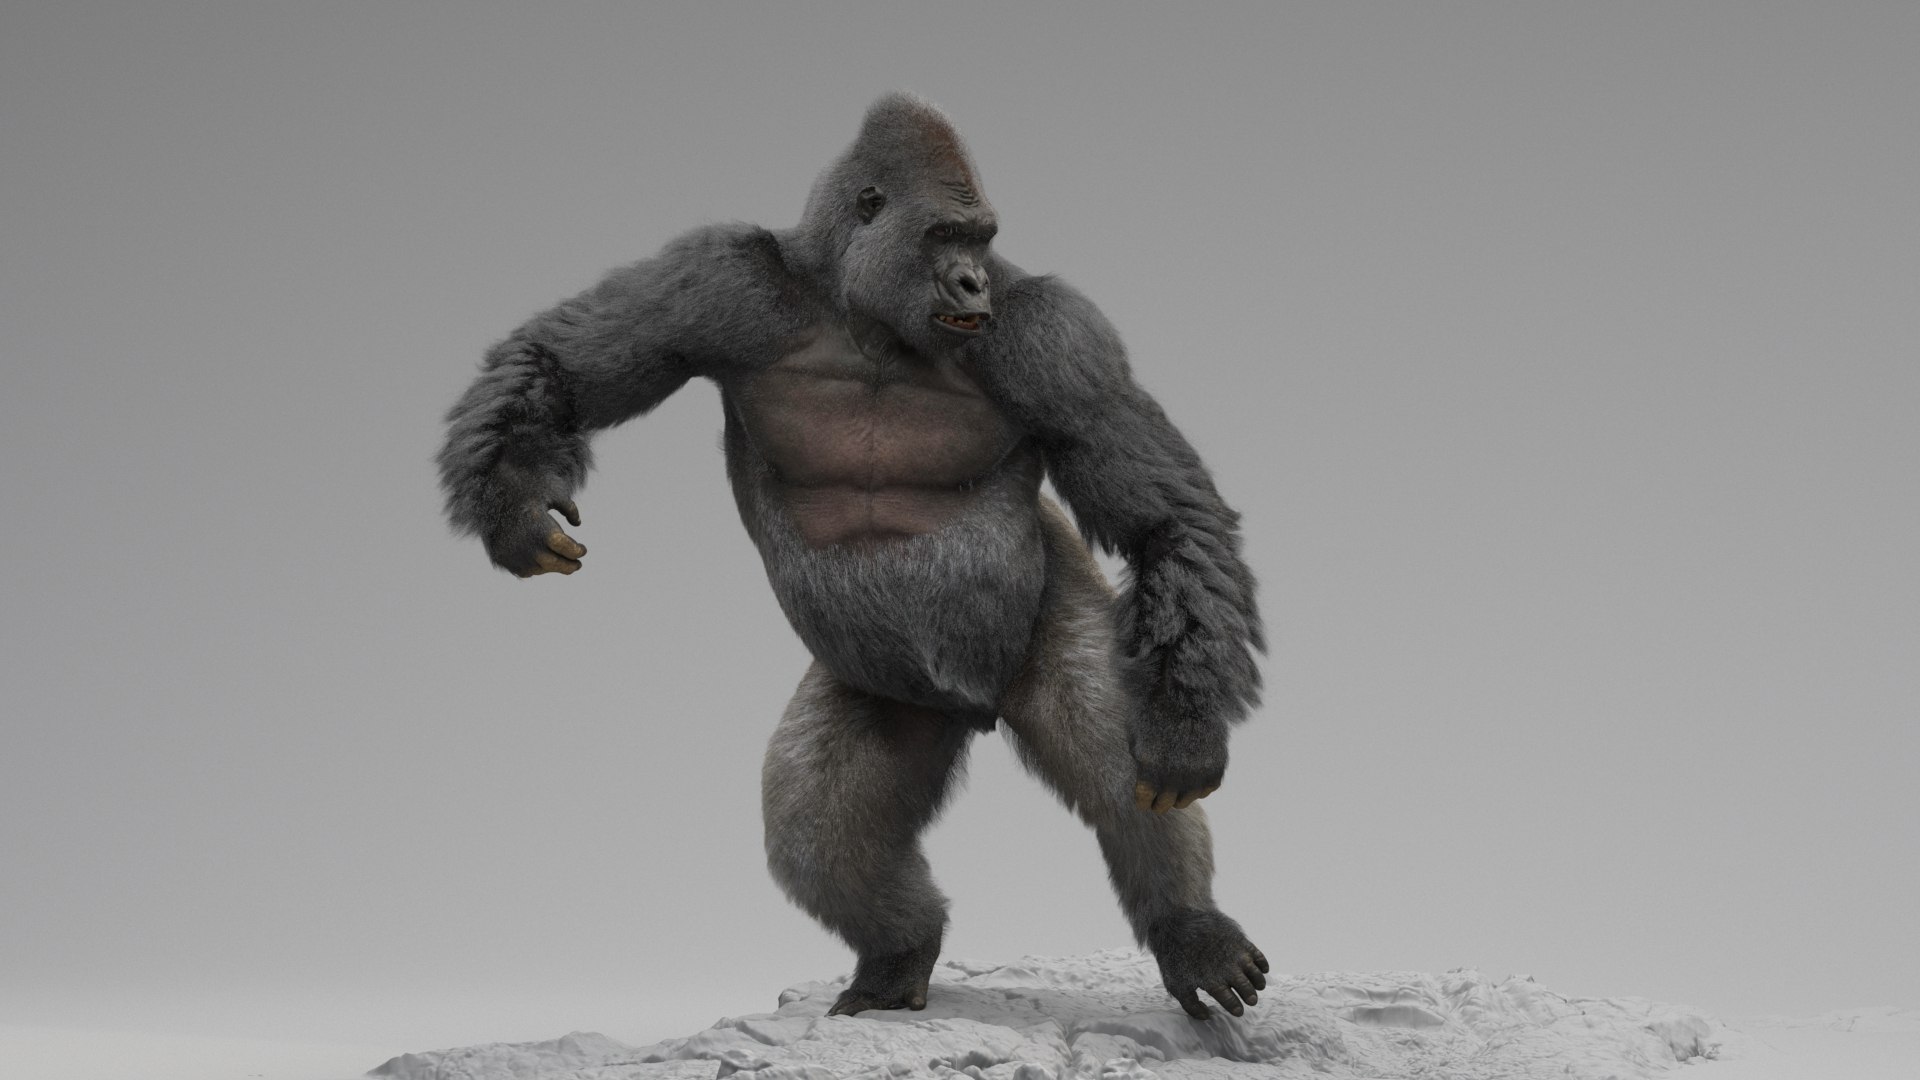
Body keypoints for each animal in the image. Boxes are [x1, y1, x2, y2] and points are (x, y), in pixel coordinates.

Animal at [437, 93, 1268, 1021]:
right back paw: (898, 955)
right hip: (893, 692)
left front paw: (1186, 729)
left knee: (1106, 744)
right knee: (819, 832)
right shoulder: (718, 279)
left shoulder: (1057, 335)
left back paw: (1191, 927)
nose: (973, 283)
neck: (860, 312)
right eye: (945, 236)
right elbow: (563, 364)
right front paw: (514, 498)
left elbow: (1165, 521)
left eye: (980, 241)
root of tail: (976, 707)